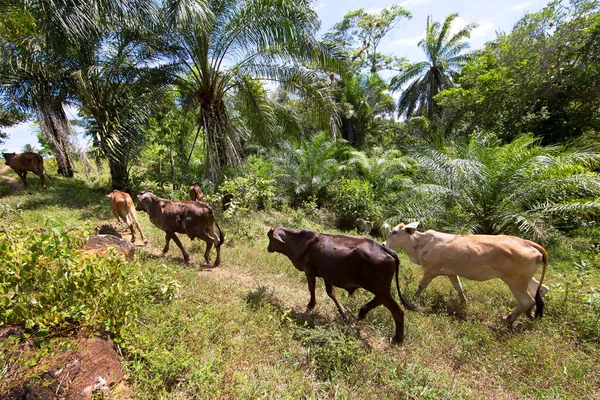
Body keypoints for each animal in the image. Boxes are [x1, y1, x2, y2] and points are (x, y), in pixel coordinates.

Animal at [268, 227, 418, 342]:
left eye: (270, 237)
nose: (268, 248)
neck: (300, 241)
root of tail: (385, 249)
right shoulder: (327, 276)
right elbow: (331, 293)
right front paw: (344, 313)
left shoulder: (309, 271)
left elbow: (312, 289)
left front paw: (311, 305)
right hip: (380, 289)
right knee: (380, 301)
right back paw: (362, 312)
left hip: (380, 288)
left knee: (397, 309)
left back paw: (398, 338)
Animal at [384, 222, 548, 324]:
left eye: (394, 232)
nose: (384, 244)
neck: (422, 244)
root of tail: (529, 243)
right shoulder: (451, 272)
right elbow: (459, 288)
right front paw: (464, 303)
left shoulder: (431, 271)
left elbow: (421, 287)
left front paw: (412, 300)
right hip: (524, 279)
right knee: (542, 289)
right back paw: (529, 313)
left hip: (515, 282)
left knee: (527, 300)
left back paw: (509, 318)